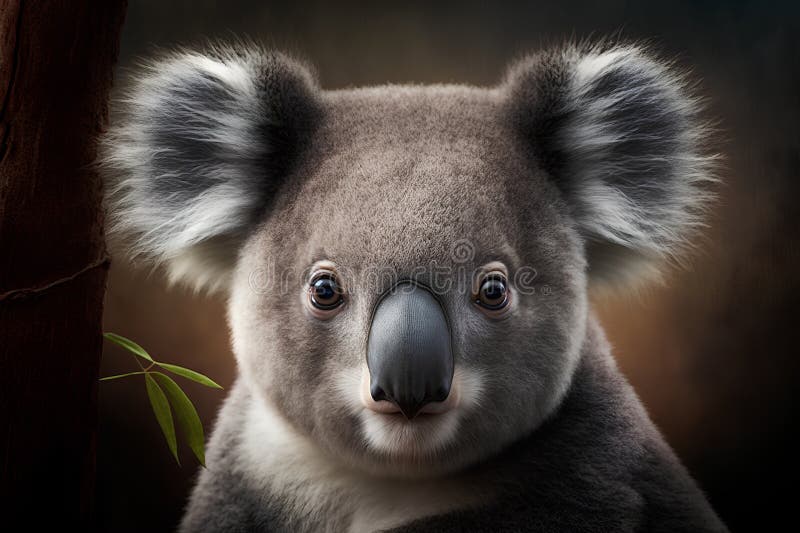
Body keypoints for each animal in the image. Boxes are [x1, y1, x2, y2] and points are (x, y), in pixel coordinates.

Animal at [102, 40, 728, 532]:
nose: (410, 386)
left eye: (493, 290)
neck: (388, 481)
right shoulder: (249, 473)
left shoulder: (596, 482)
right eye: (324, 290)